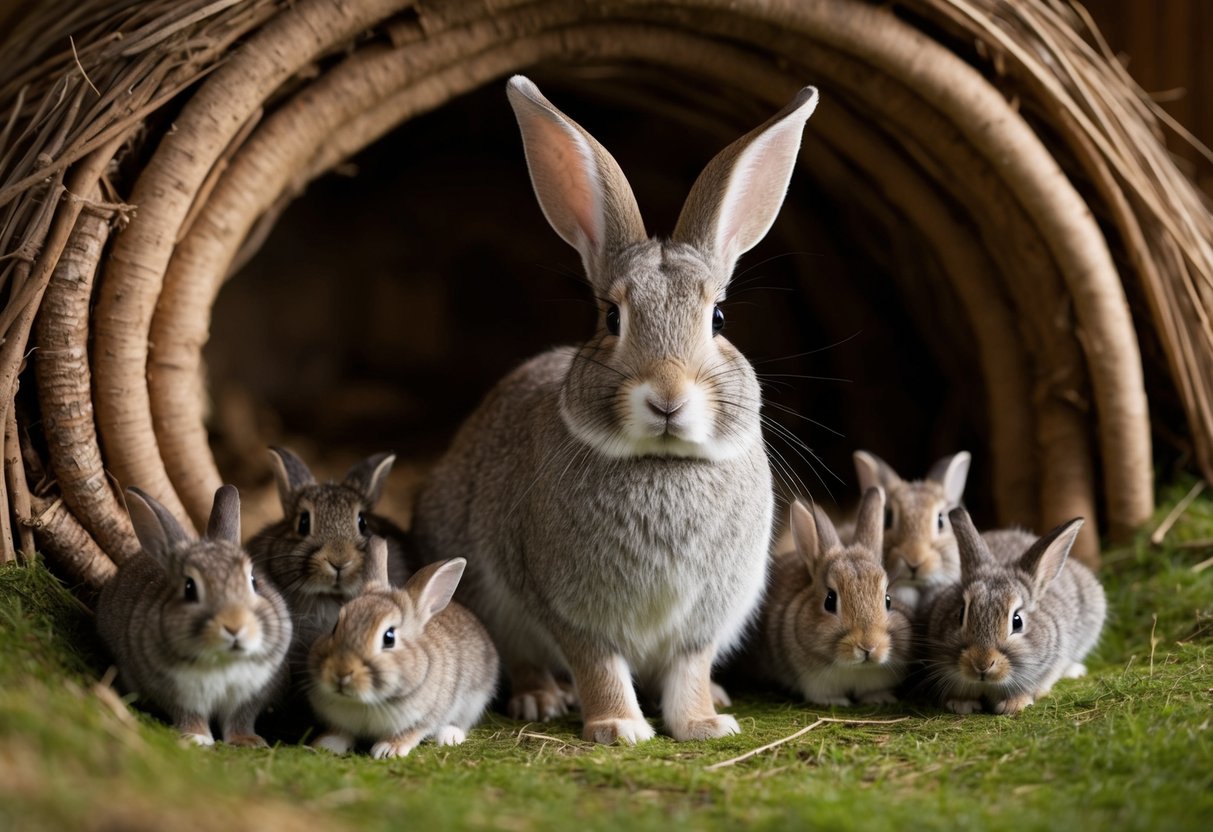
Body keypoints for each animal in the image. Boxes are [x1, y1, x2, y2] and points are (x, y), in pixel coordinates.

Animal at [96, 485, 291, 747]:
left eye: (254, 581)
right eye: (189, 587)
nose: (234, 627)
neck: (222, 661)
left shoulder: (251, 694)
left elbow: (240, 718)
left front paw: (247, 741)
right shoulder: (176, 692)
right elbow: (189, 714)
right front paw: (197, 738)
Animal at [307, 539, 499, 758]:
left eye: (389, 638)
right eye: (335, 627)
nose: (341, 673)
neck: (367, 702)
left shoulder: (426, 715)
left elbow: (411, 732)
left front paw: (387, 749)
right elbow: (341, 731)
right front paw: (326, 744)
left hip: (474, 701)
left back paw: (449, 736)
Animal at [410, 76, 819, 744]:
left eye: (718, 318)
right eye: (610, 318)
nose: (667, 397)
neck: (662, 462)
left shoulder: (702, 622)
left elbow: (689, 667)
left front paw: (703, 723)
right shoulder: (569, 609)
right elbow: (597, 663)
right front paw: (619, 727)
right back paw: (540, 699)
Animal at [756, 490, 912, 706]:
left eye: (888, 600)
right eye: (829, 601)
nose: (868, 646)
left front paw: (880, 698)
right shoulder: (813, 680)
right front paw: (837, 701)